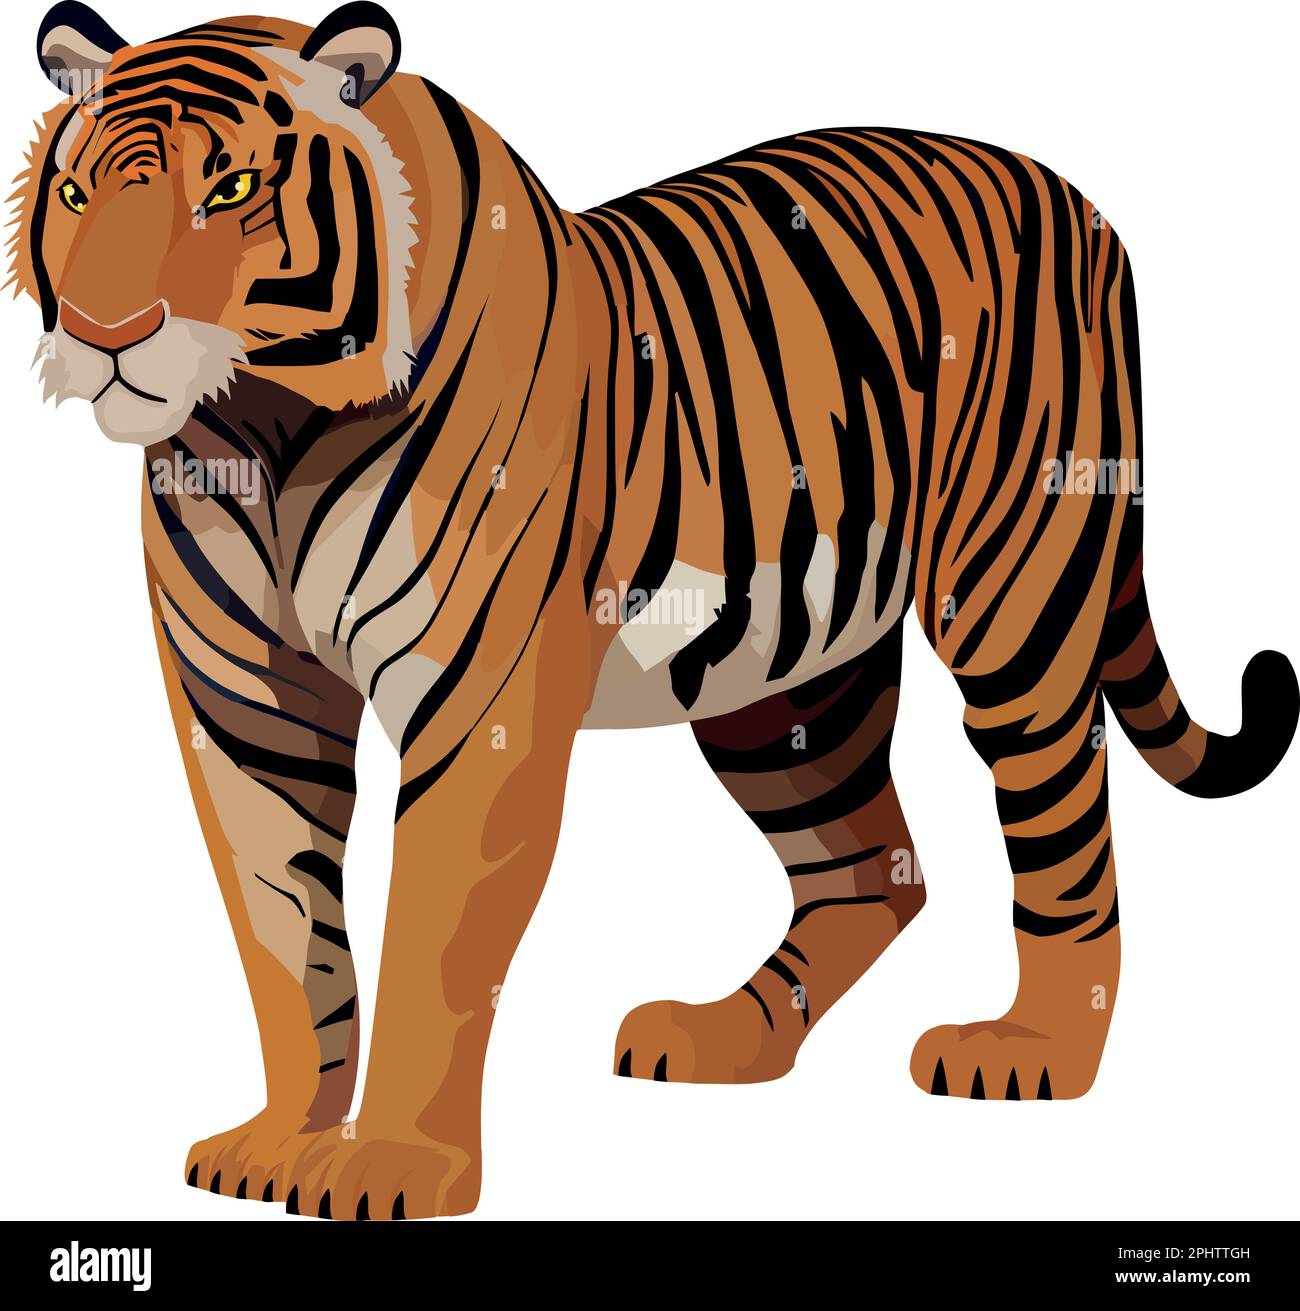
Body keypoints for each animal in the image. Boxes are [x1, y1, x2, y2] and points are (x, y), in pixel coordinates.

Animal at [10, 0, 1296, 1221]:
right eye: (75, 193)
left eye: (229, 191)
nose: (105, 338)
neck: (263, 428)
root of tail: (1071, 194)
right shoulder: (246, 712)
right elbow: (283, 937)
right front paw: (278, 1143)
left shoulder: (475, 711)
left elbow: (430, 942)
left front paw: (394, 1167)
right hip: (784, 685)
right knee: (873, 870)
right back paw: (725, 1038)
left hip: (1012, 595)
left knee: (1062, 822)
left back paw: (1035, 1051)